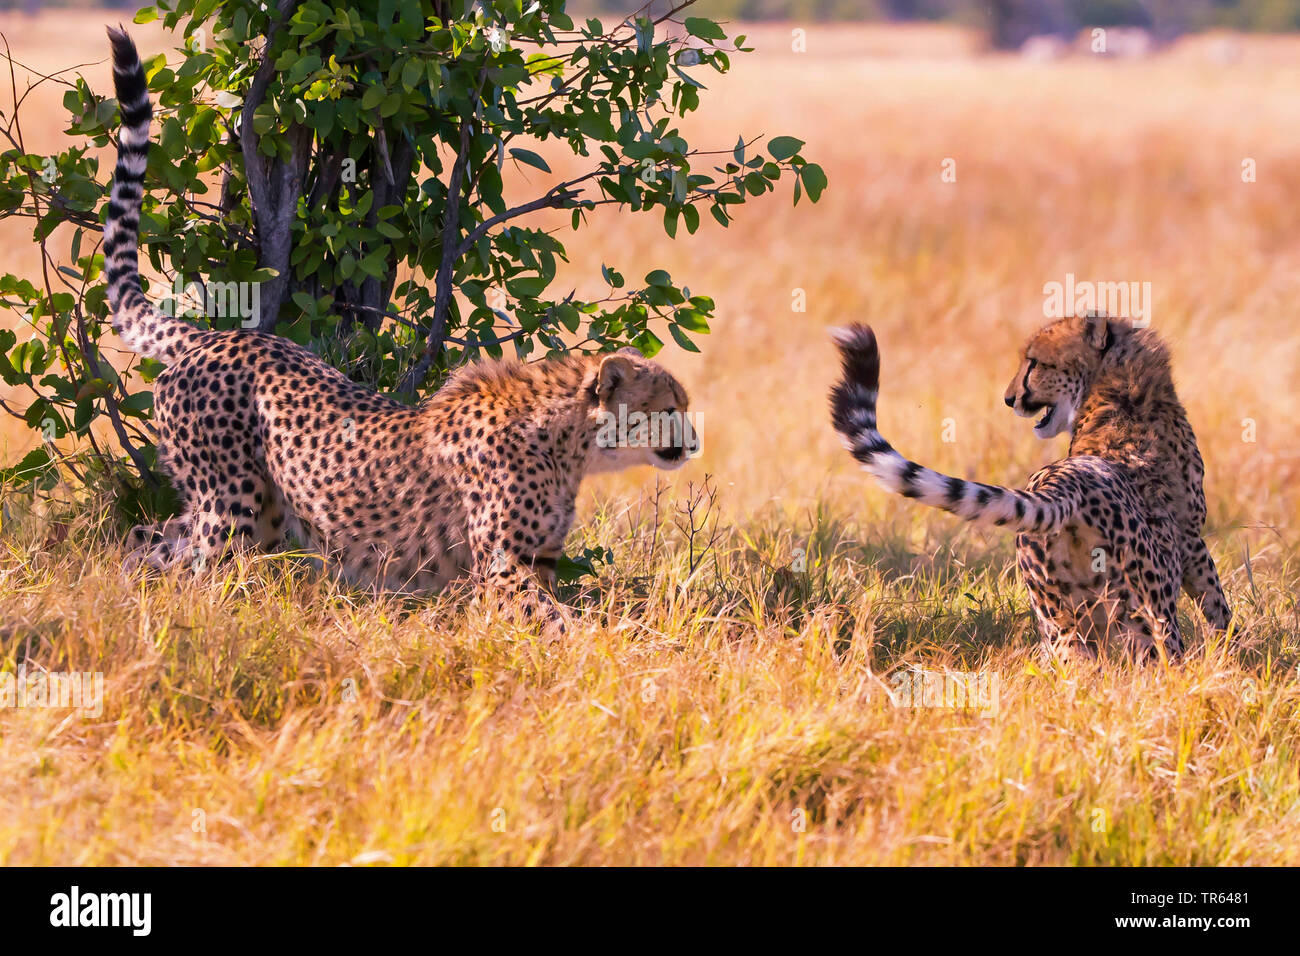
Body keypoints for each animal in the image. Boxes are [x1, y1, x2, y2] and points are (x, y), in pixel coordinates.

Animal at [102, 27, 697, 628]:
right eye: (669, 407)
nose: (693, 443)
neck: (569, 440)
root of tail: (222, 335)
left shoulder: (537, 564)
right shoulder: (505, 573)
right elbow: (566, 627)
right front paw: (624, 641)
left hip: (255, 511)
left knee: (150, 536)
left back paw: (124, 588)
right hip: (231, 504)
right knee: (195, 566)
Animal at [828, 314, 1230, 660]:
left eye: (1036, 362)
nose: (1010, 399)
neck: (1115, 387)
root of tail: (1066, 481)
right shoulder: (1191, 541)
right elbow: (1219, 607)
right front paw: (1232, 653)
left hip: (1061, 624)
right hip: (1150, 616)